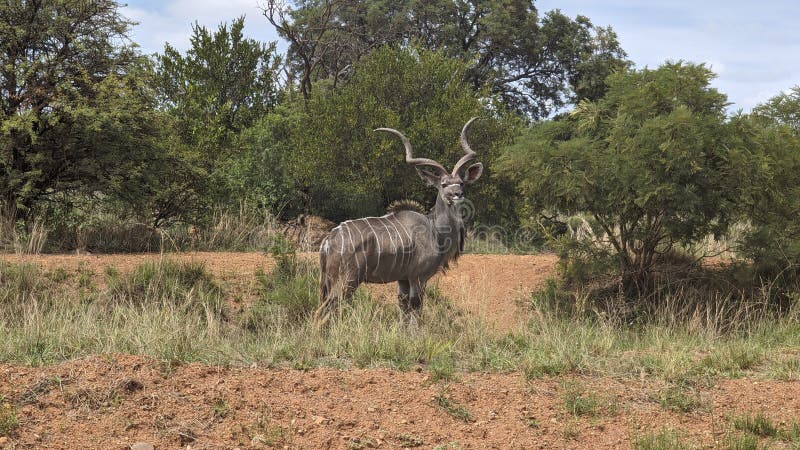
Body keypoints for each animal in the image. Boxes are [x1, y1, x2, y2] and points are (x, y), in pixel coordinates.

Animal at [314, 118, 484, 328]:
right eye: (443, 184)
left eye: (461, 182)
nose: (457, 194)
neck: (435, 230)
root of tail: (328, 241)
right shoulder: (418, 277)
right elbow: (415, 313)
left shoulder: (402, 279)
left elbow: (404, 312)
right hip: (346, 282)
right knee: (322, 313)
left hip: (330, 283)